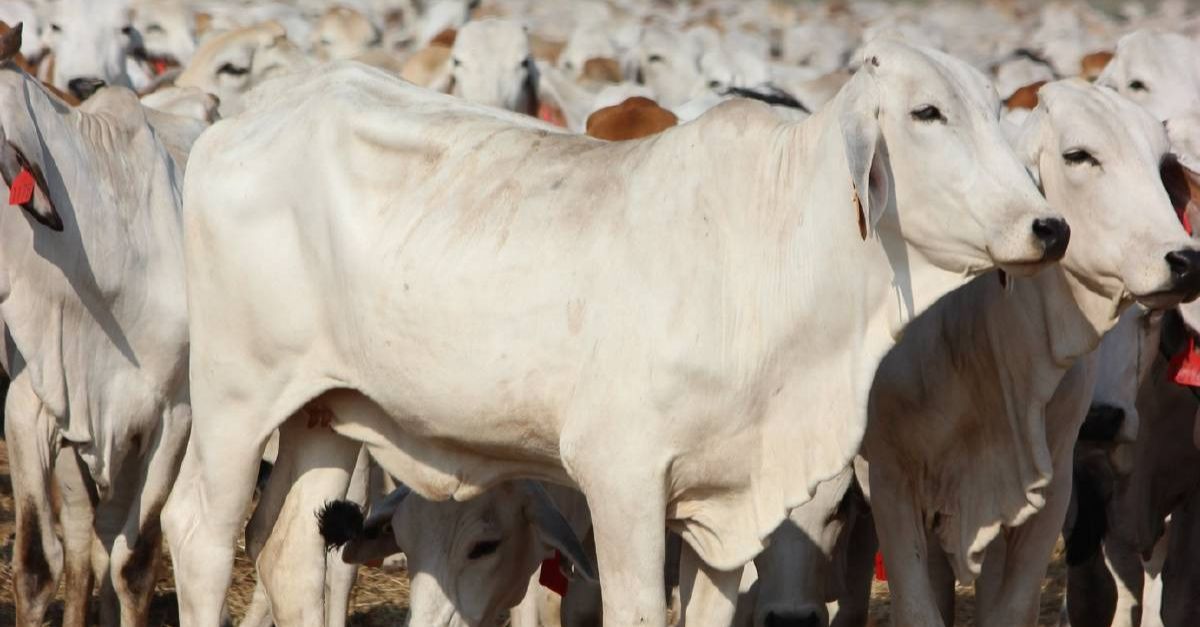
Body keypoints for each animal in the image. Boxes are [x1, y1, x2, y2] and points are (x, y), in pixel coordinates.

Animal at [162, 40, 1062, 627]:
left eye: (996, 111)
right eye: (926, 112)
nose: (1048, 227)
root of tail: (236, 124)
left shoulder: (724, 505)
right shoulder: (621, 478)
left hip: (321, 408)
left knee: (289, 551)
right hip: (235, 400)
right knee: (199, 532)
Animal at [861, 80, 1200, 627]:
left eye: (1161, 163)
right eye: (1078, 156)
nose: (1184, 260)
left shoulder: (1050, 491)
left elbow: (1014, 608)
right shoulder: (893, 485)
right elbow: (918, 608)